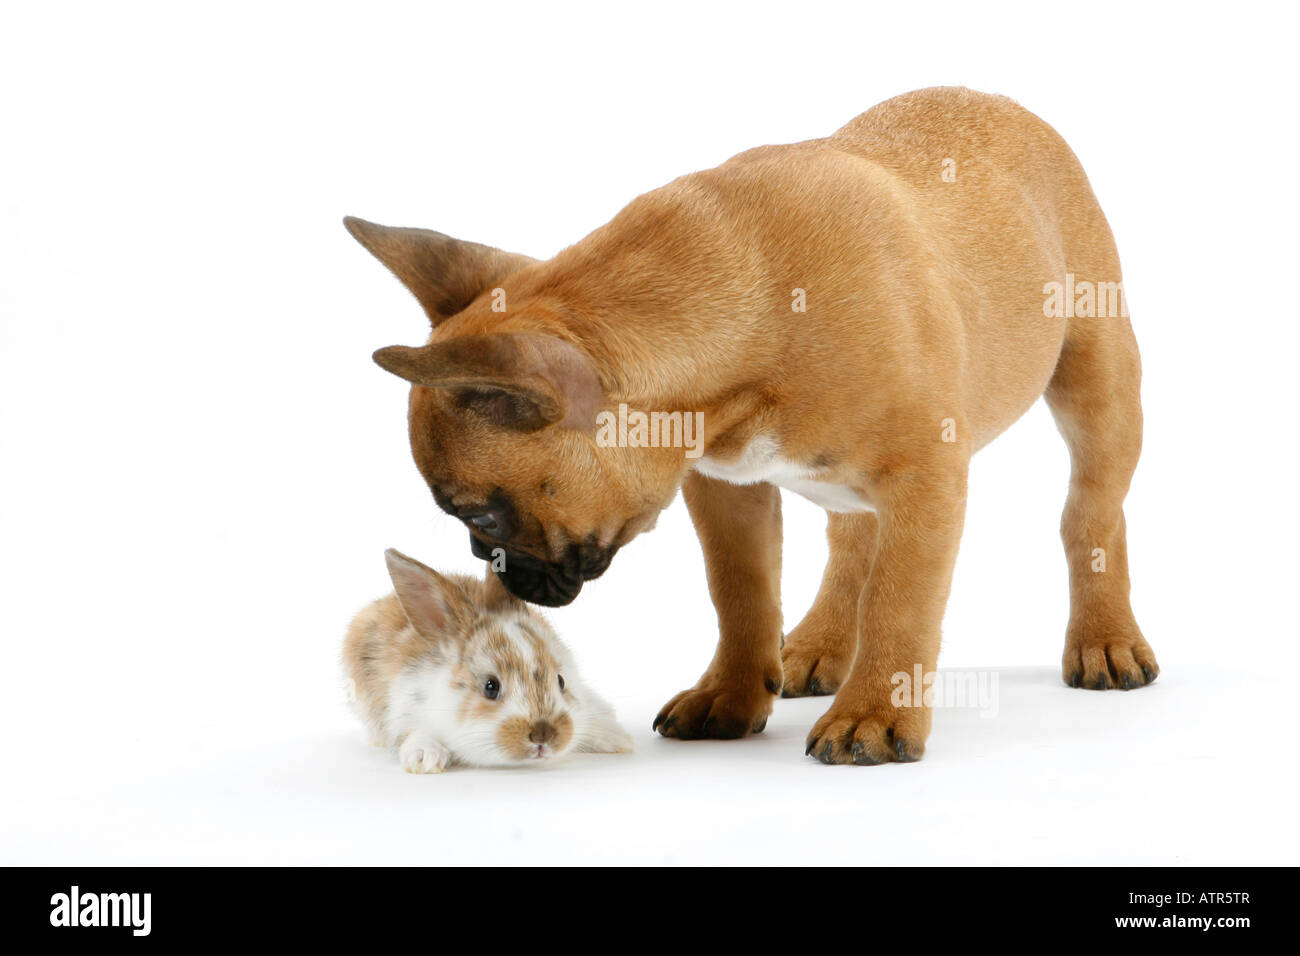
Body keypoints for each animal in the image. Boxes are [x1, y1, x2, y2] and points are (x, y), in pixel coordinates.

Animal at [343, 548, 634, 772]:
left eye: (560, 681)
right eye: (490, 687)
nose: (544, 736)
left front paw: (618, 739)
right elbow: (413, 734)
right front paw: (425, 759)